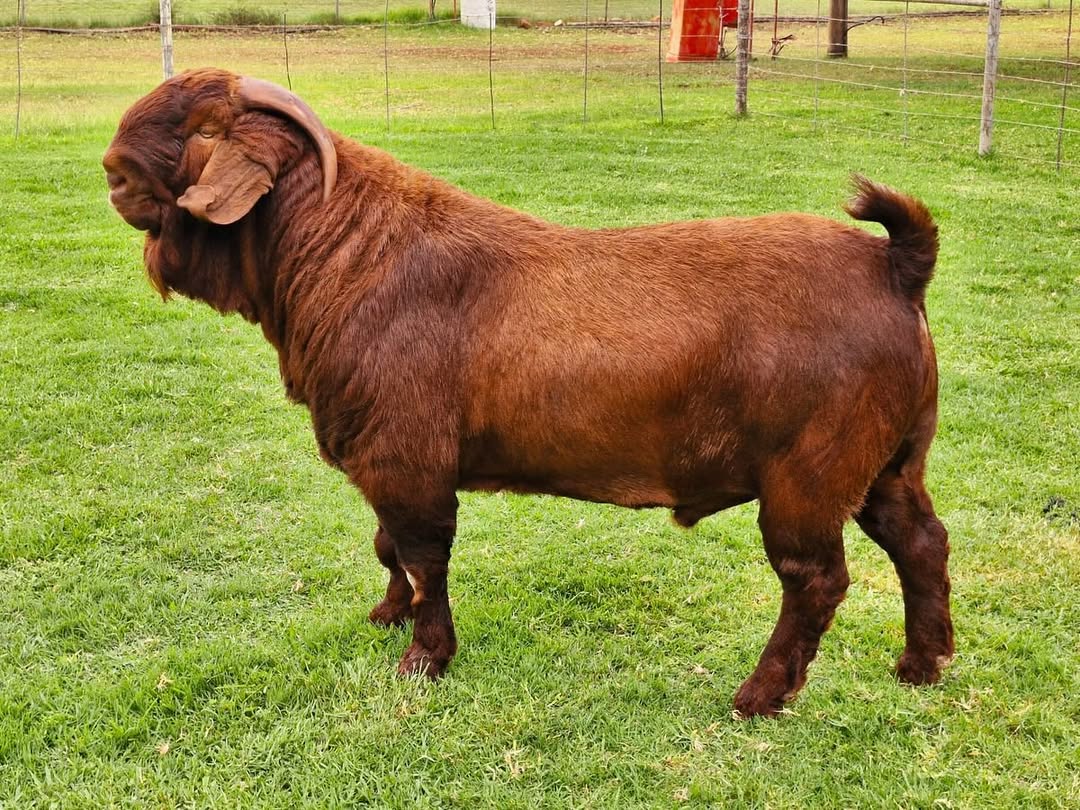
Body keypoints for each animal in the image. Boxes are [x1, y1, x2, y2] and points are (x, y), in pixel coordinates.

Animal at [103, 69, 953, 717]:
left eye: (194, 127)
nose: (112, 169)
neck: (348, 251)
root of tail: (894, 266)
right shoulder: (383, 460)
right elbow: (386, 545)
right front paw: (387, 616)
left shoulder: (408, 459)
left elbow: (423, 556)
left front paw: (425, 659)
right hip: (890, 460)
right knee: (919, 539)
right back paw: (924, 665)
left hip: (809, 472)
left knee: (816, 579)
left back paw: (760, 695)